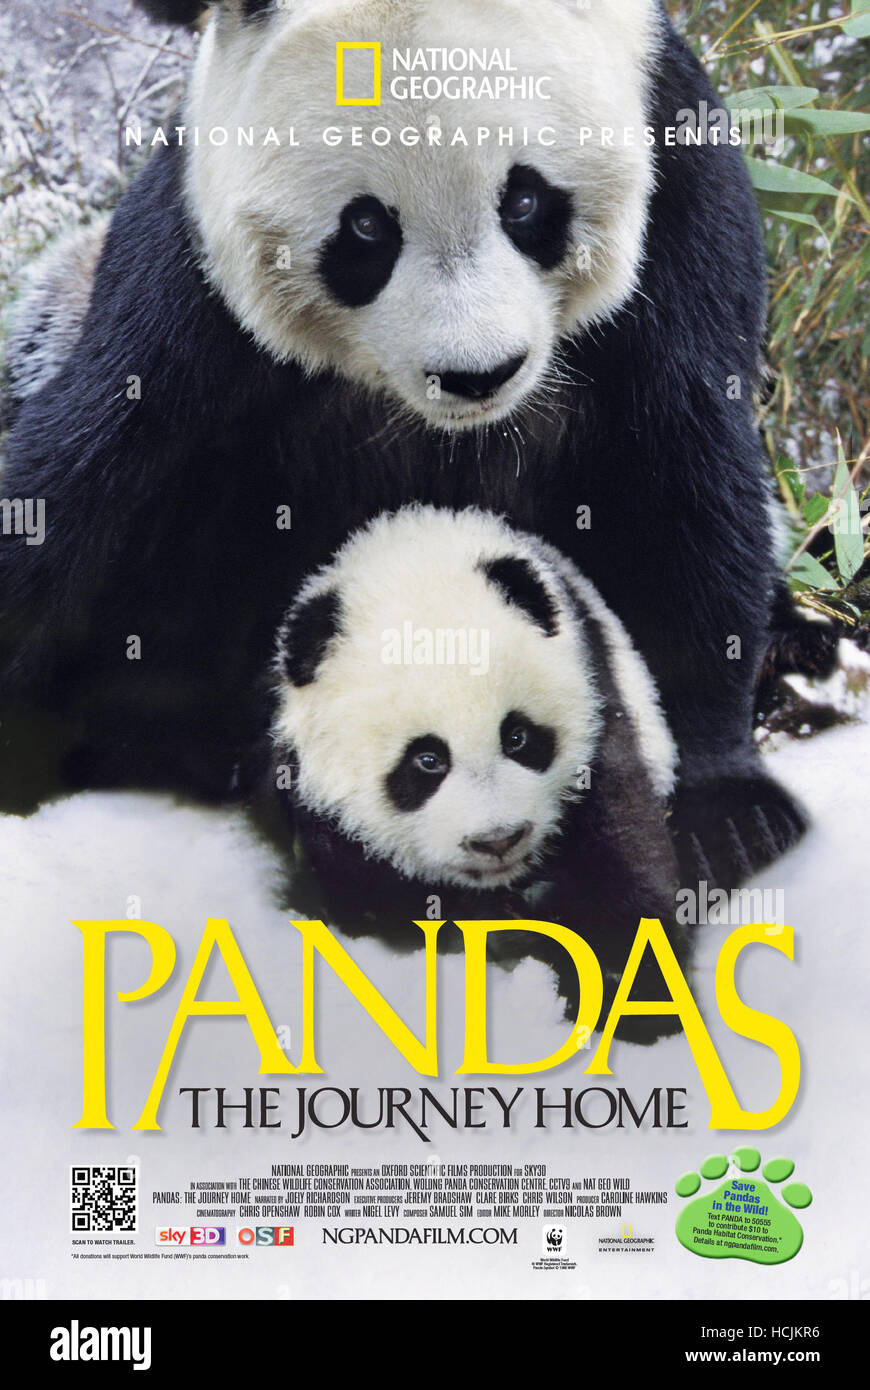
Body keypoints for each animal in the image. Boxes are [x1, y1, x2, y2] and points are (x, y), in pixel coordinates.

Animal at [0, 0, 806, 890]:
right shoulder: (191, 285)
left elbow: (680, 477)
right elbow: (83, 488)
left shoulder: (681, 202)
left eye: (525, 202)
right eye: (365, 226)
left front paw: (727, 810)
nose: (477, 375)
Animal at [259, 505, 685, 1019]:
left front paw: (626, 984)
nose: (498, 840)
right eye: (427, 760)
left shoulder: (599, 708)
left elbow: (620, 841)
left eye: (517, 737)